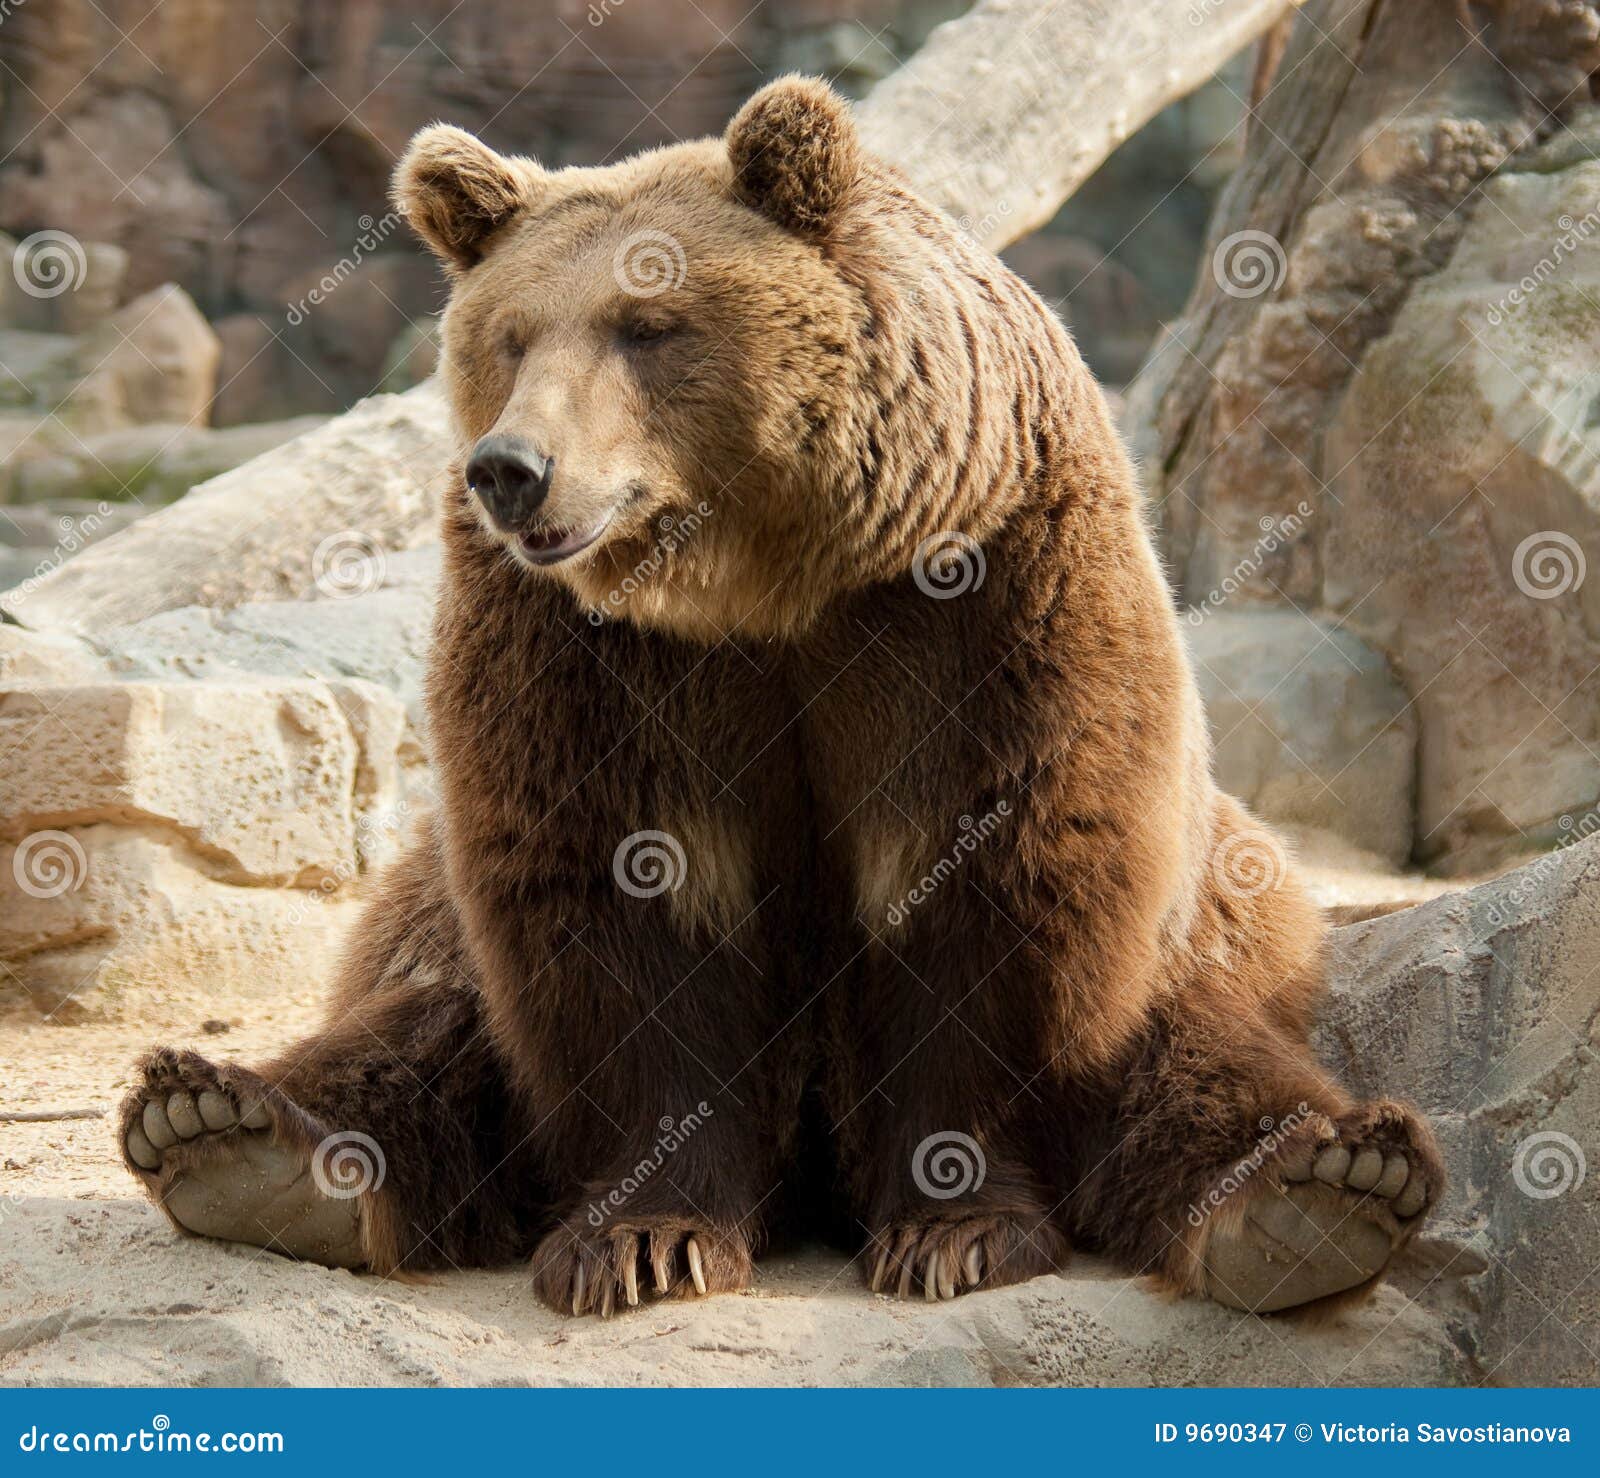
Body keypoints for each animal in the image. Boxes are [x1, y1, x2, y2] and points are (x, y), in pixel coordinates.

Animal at [119, 76, 1442, 1319]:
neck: (761, 585)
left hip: (1220, 921)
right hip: (428, 923)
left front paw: (955, 1228)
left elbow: (994, 879)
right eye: (509, 336)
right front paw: (643, 1235)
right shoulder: (587, 655)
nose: (511, 469)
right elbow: (618, 908)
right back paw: (234, 1135)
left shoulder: (981, 595)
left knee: (1203, 1063)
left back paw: (1319, 1187)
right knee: (421, 1031)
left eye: (645, 324)